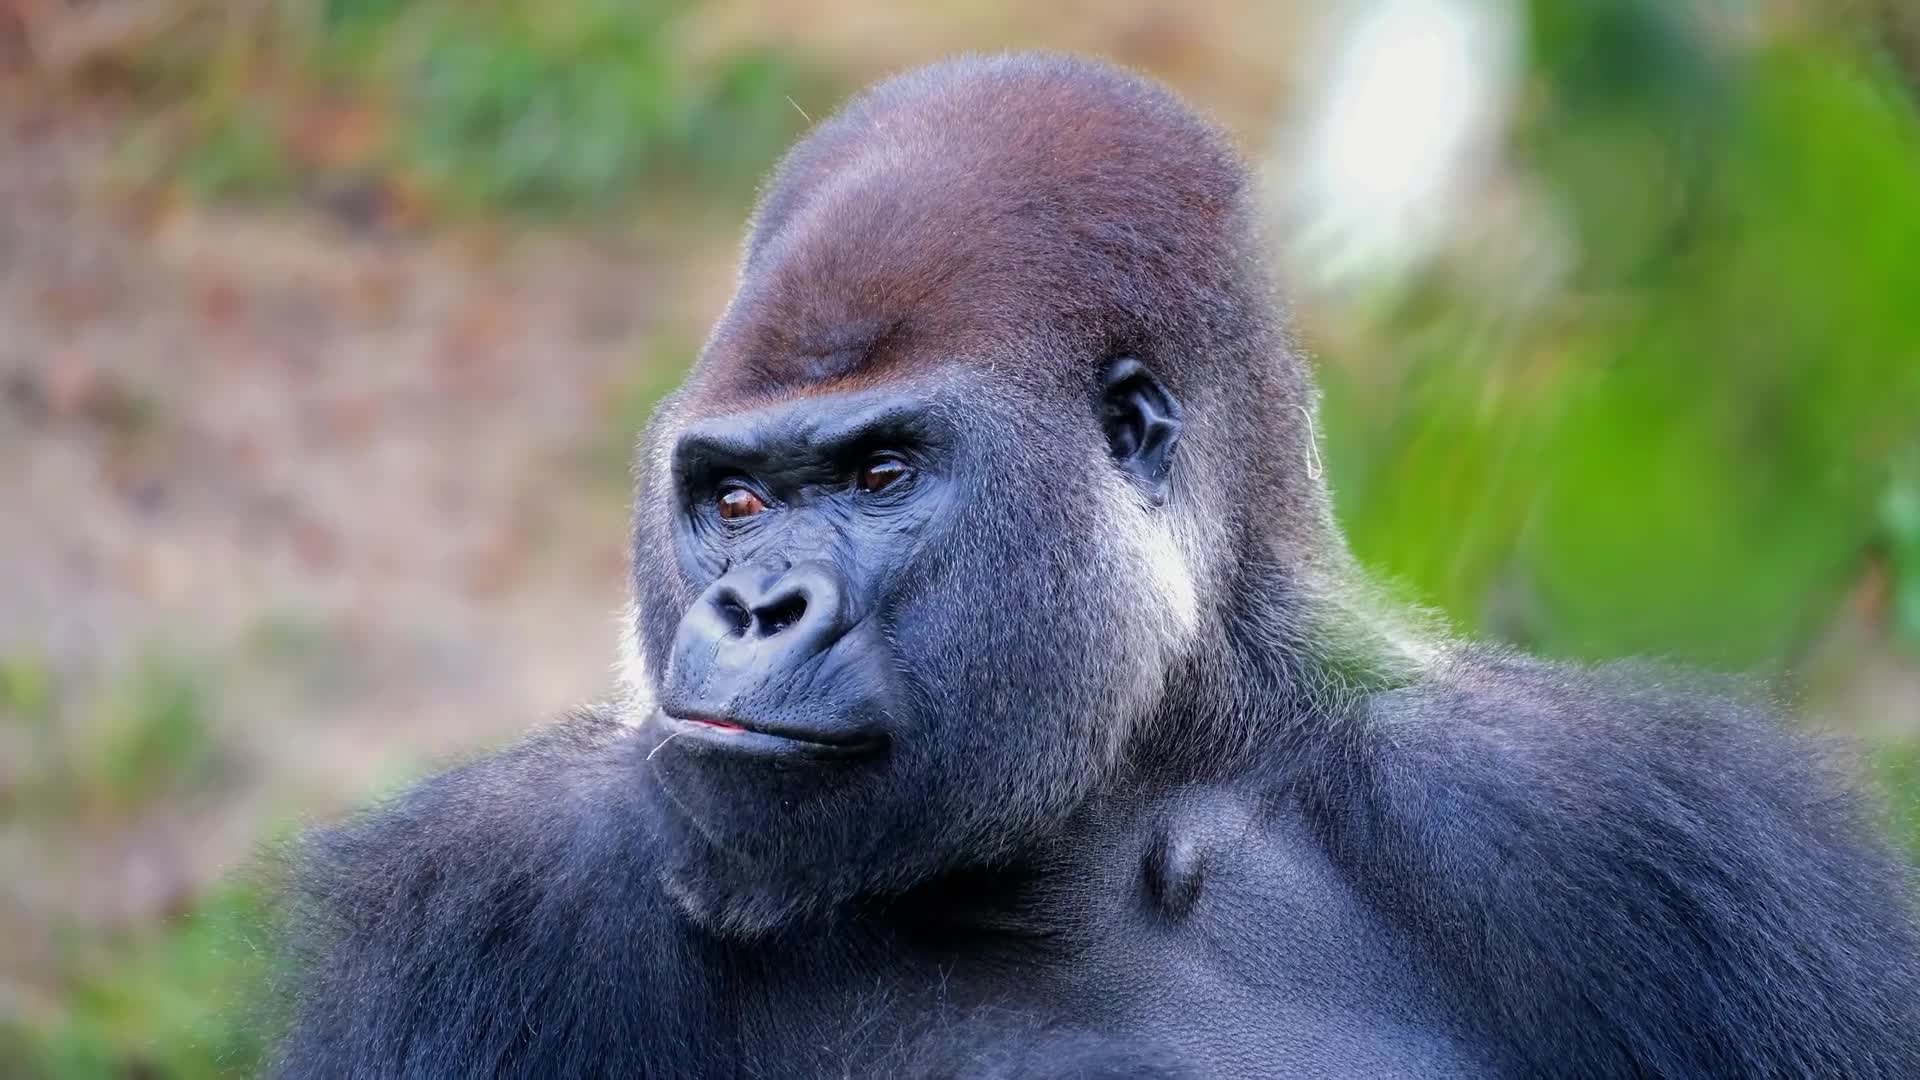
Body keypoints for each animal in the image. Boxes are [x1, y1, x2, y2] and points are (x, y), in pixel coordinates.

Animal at [273, 52, 1920, 1078]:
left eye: (882, 476)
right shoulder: (487, 902)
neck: (1123, 794)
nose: (753, 605)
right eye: (731, 501)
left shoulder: (1657, 842)